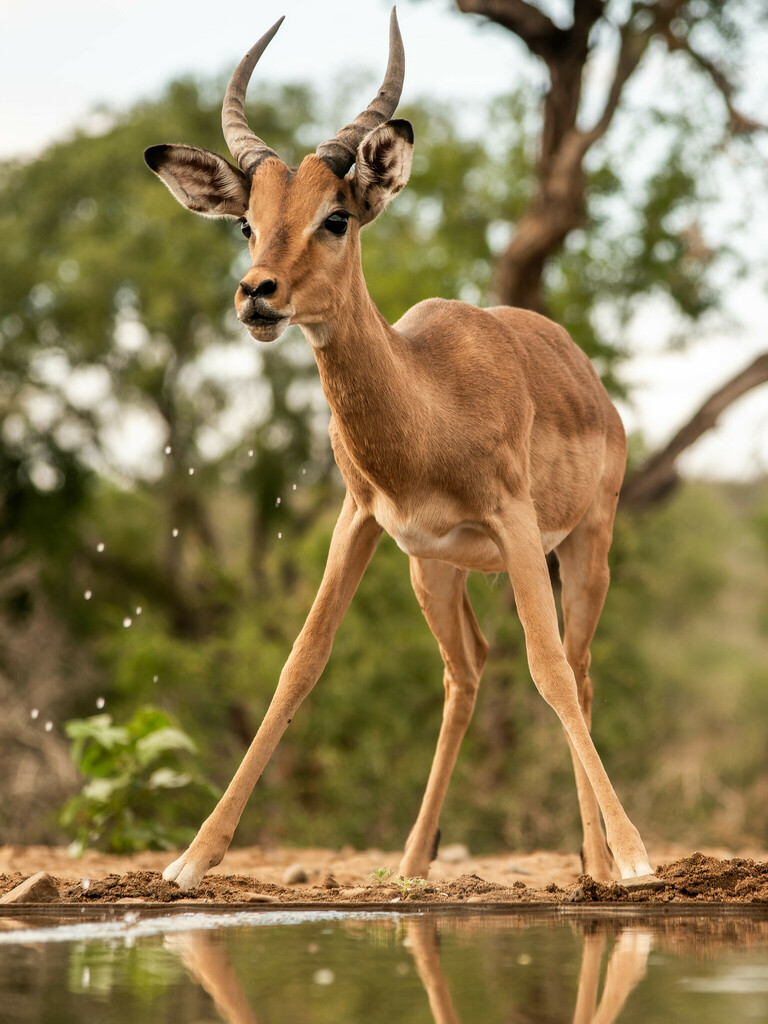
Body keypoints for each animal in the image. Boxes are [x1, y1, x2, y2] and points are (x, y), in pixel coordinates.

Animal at [145, 8, 652, 890]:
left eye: (336, 215)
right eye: (248, 222)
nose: (257, 295)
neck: (429, 402)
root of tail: (589, 379)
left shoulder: (516, 527)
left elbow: (549, 670)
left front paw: (633, 856)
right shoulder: (360, 521)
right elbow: (300, 663)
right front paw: (192, 857)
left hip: (586, 546)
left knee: (577, 670)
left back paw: (594, 858)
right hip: (434, 569)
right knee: (468, 668)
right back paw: (414, 863)